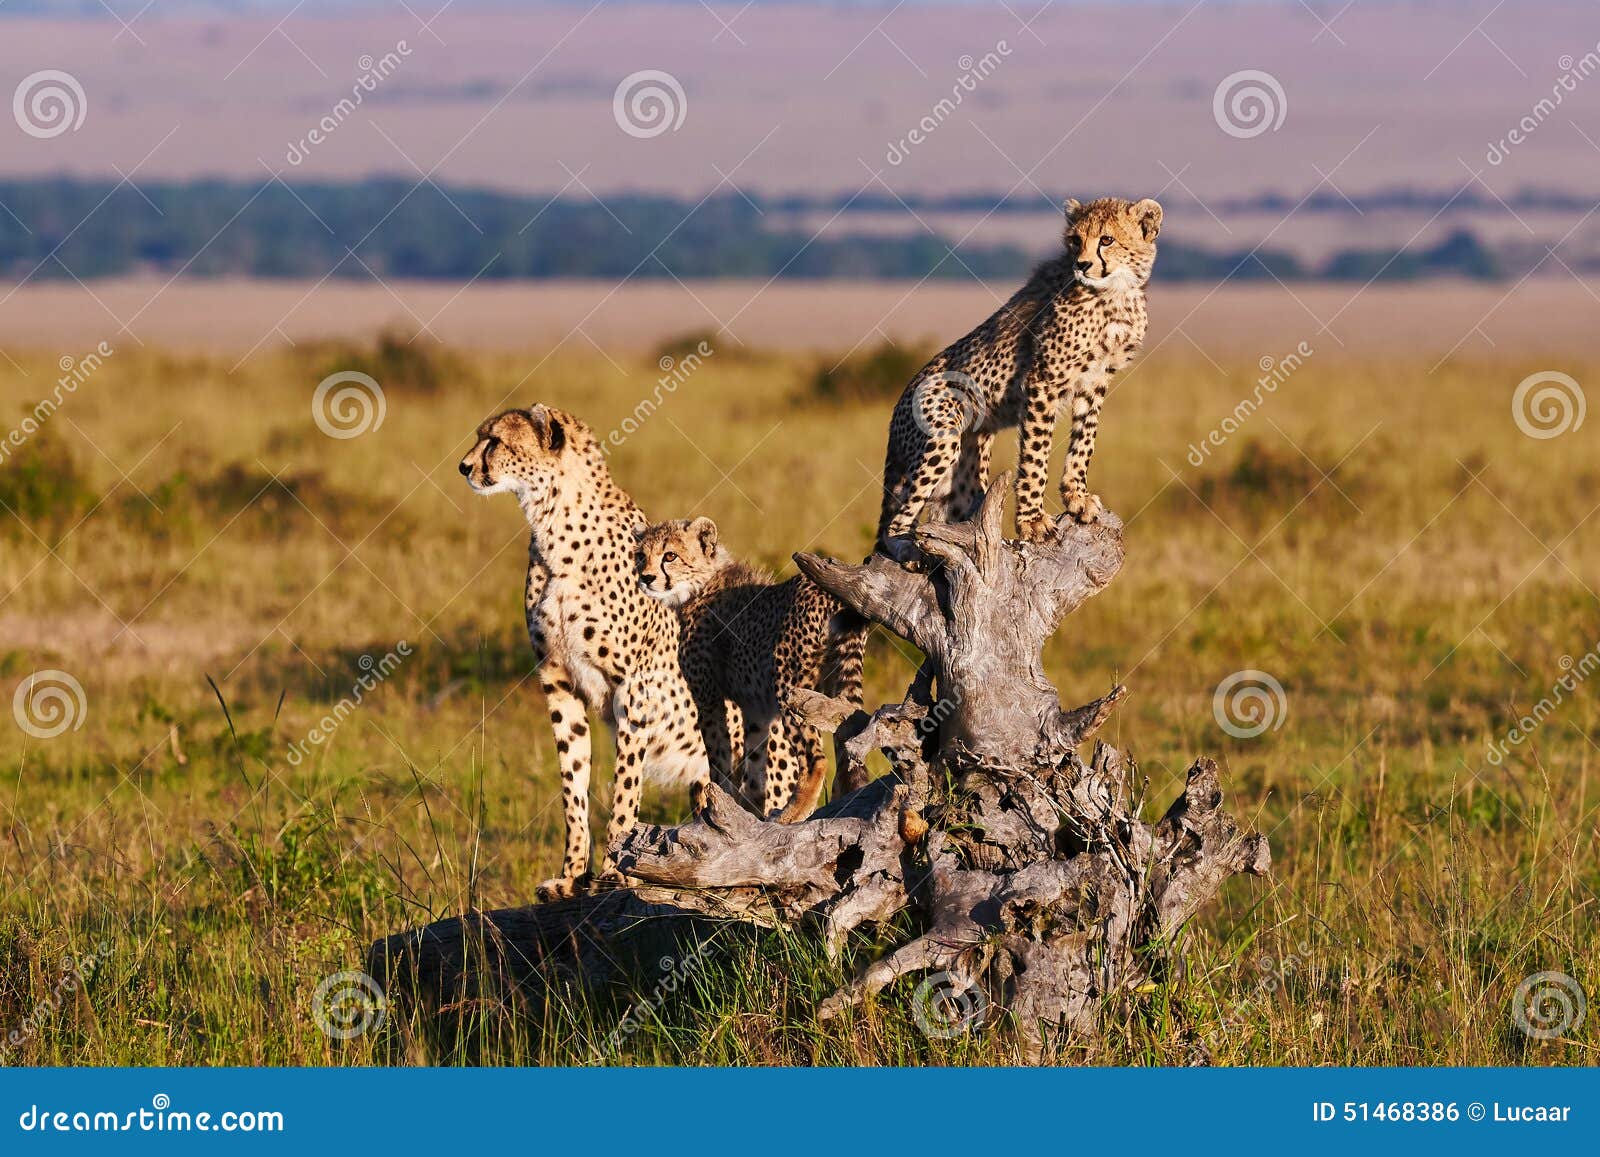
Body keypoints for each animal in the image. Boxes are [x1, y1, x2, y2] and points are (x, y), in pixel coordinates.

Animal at [459, 405, 710, 900]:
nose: (464, 466)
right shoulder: (557, 679)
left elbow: (625, 786)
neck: (553, 523)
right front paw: (573, 874)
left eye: (494, 441)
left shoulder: (634, 687)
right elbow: (572, 783)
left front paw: (617, 870)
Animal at [634, 516, 859, 821]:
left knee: (816, 758)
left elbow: (718, 758)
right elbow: (755, 765)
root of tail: (824, 590)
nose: (645, 577)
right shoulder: (756, 708)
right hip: (836, 689)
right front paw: (749, 811)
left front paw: (715, 805)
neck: (699, 584)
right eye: (640, 555)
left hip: (790, 688)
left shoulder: (709, 699)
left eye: (670, 556)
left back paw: (792, 813)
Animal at [877, 195, 1162, 557]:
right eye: (1075, 240)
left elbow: (1085, 440)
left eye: (1107, 240)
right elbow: (1035, 455)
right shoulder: (1043, 379)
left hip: (965, 469)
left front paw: (1077, 497)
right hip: (942, 433)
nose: (1082, 265)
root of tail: (896, 408)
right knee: (896, 520)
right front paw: (1032, 521)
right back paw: (906, 549)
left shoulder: (1095, 381)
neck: (1116, 294)